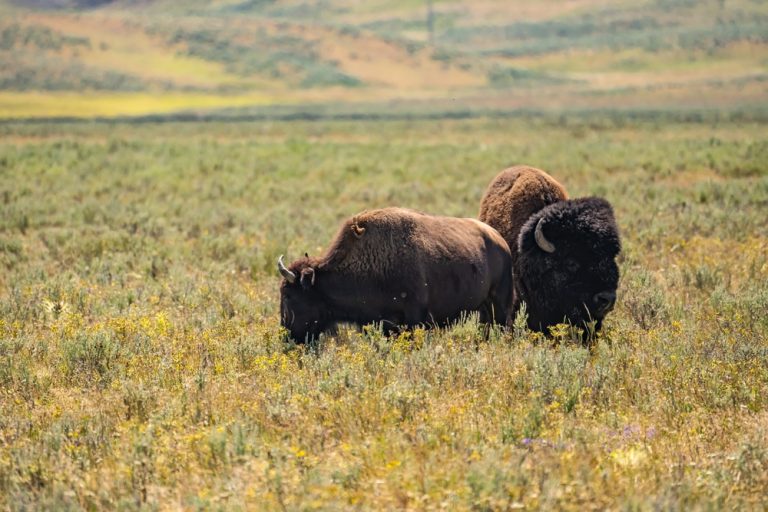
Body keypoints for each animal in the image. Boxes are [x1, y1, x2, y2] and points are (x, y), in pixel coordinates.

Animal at [277, 207, 513, 343]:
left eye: (288, 295)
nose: (287, 337)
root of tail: (499, 241)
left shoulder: (413, 319)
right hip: (484, 308)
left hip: (500, 303)